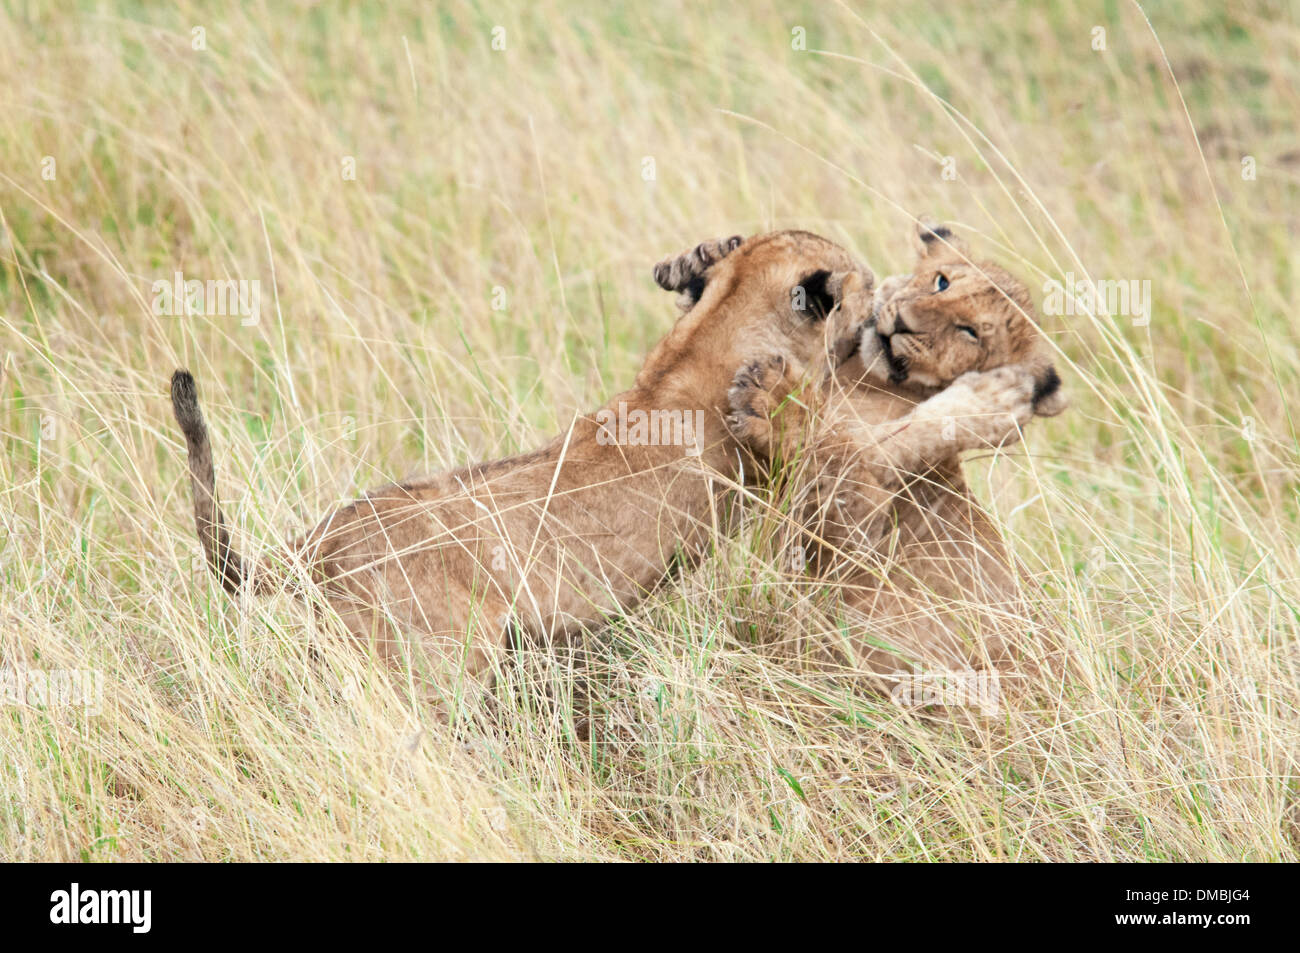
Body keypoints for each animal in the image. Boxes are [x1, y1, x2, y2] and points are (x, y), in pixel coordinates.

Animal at [170, 230, 874, 704]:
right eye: (863, 283)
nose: (880, 294)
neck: (711, 332)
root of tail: (321, 540)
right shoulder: (771, 484)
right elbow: (830, 460)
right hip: (434, 671)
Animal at [661, 222, 1066, 685]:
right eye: (942, 282)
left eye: (971, 332)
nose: (904, 322)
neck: (859, 377)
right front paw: (703, 259)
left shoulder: (856, 537)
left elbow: (848, 458)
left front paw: (777, 400)